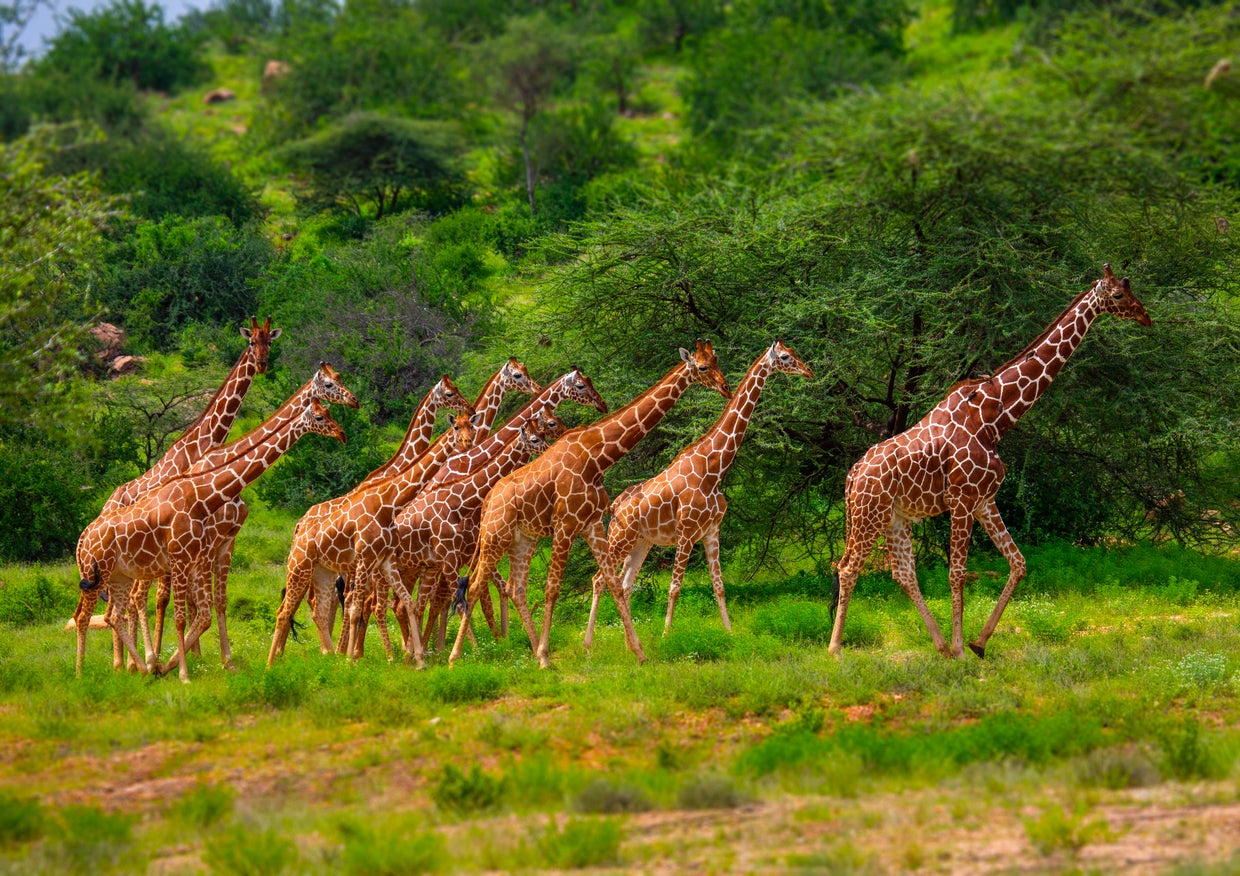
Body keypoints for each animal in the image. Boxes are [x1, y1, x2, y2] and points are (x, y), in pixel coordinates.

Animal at [74, 400, 346, 681]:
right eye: (319, 417)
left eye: (329, 412)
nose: (342, 434)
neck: (200, 495)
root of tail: (83, 538)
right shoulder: (182, 558)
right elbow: (182, 617)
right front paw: (183, 674)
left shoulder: (202, 554)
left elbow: (204, 611)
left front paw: (178, 665)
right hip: (99, 574)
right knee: (86, 615)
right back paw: (86, 672)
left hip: (119, 576)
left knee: (114, 615)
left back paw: (140, 667)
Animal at [269, 412, 478, 665]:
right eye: (456, 427)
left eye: (471, 425)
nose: (468, 442)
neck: (389, 503)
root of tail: (298, 530)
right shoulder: (364, 559)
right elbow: (355, 609)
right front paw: (352, 660)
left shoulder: (385, 560)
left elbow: (408, 603)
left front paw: (419, 660)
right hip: (299, 567)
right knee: (283, 611)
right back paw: (271, 665)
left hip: (322, 571)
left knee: (317, 610)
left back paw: (329, 656)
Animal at [451, 340, 732, 669]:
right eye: (702, 367)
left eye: (716, 360)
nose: (725, 387)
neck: (596, 457)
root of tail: (487, 502)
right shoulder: (565, 524)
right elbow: (553, 588)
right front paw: (546, 654)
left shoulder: (592, 523)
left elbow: (613, 583)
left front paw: (639, 653)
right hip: (496, 536)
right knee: (475, 585)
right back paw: (456, 658)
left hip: (522, 539)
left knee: (514, 587)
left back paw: (526, 652)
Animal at [584, 340, 814, 644]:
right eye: (786, 357)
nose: (809, 371)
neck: (714, 468)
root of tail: (615, 506)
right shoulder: (687, 531)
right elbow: (675, 586)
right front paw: (667, 634)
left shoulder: (711, 530)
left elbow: (719, 585)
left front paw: (729, 632)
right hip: (620, 537)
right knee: (600, 580)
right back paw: (589, 643)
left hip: (641, 542)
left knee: (625, 583)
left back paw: (628, 642)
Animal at [830, 265, 1151, 659]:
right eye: (1119, 295)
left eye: (1131, 290)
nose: (1145, 316)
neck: (993, 419)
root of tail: (852, 476)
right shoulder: (963, 500)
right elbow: (957, 573)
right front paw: (961, 649)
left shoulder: (985, 500)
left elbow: (1019, 563)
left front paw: (977, 643)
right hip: (868, 516)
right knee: (848, 567)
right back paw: (836, 649)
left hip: (895, 518)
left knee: (903, 574)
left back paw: (938, 644)